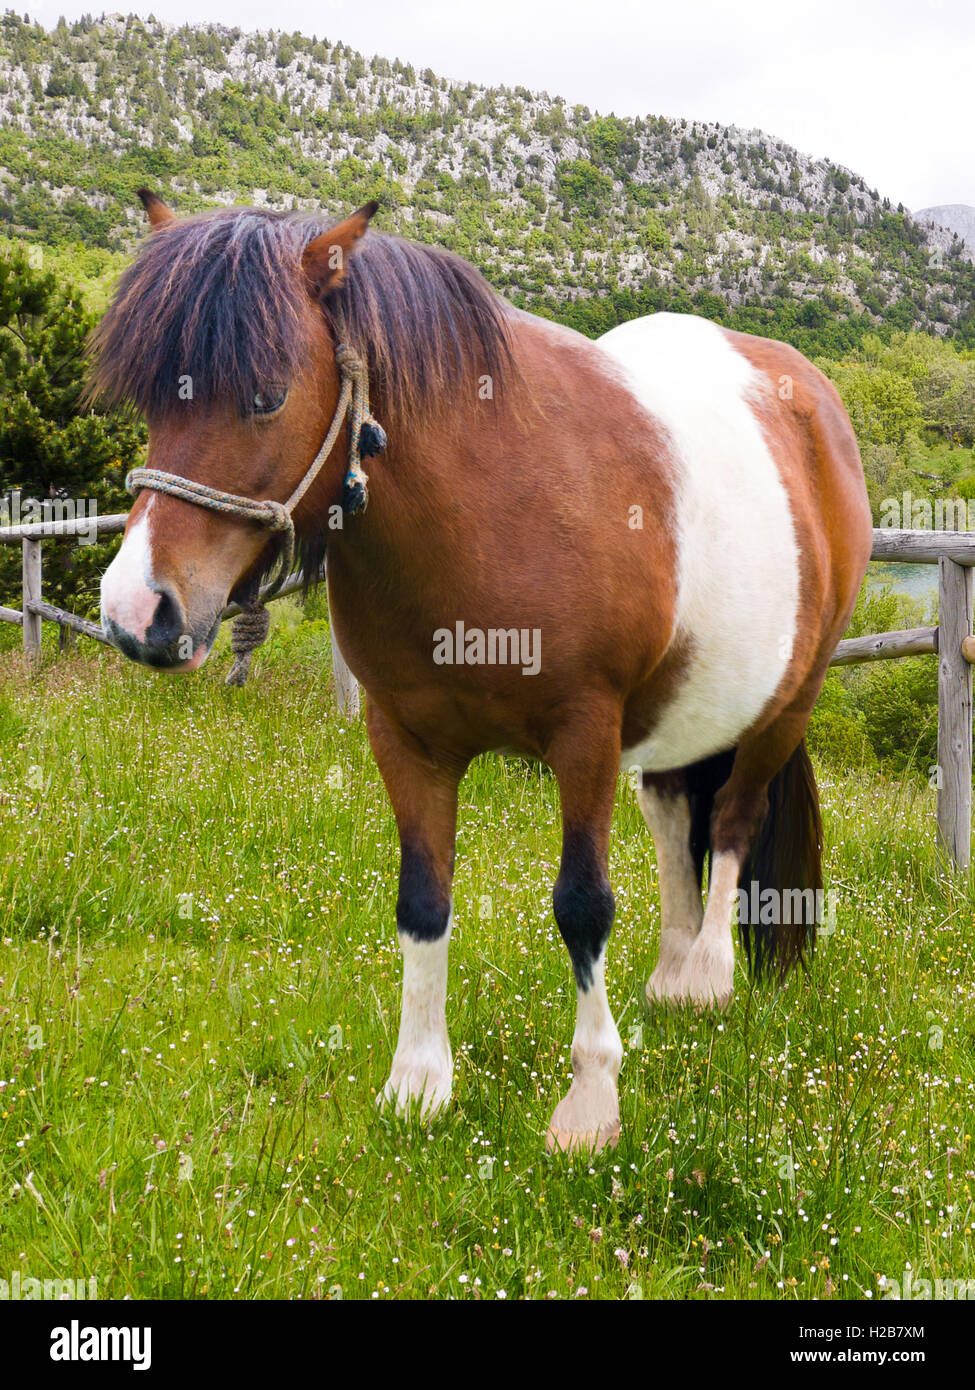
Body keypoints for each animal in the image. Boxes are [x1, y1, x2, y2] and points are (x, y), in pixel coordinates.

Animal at [93, 192, 873, 1153]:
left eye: (266, 397)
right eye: (151, 396)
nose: (137, 612)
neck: (492, 498)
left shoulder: (585, 734)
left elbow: (582, 904)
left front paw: (590, 1105)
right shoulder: (405, 739)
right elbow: (422, 903)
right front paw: (418, 1083)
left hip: (786, 700)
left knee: (731, 818)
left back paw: (706, 976)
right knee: (671, 813)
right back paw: (670, 968)